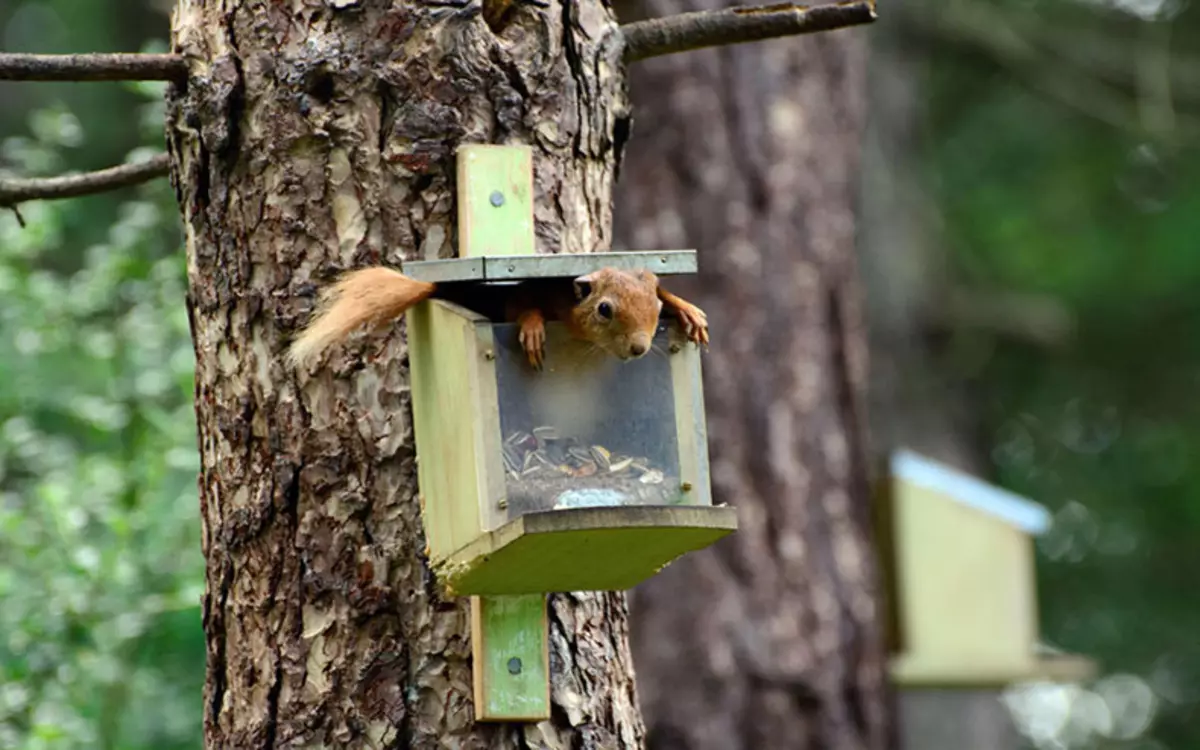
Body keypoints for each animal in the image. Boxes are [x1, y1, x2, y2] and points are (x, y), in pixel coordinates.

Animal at [285, 262, 705, 369]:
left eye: (655, 310)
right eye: (605, 309)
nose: (639, 348)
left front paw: (688, 310)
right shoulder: (540, 291)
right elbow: (520, 305)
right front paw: (533, 329)